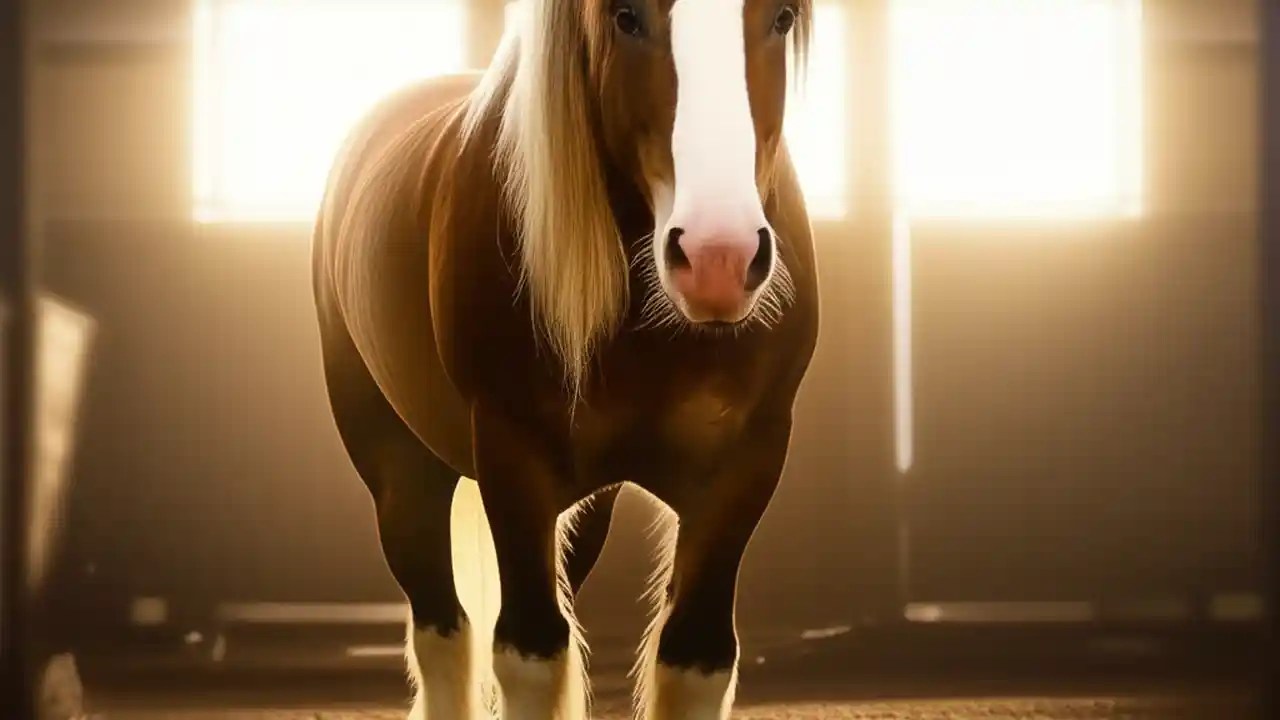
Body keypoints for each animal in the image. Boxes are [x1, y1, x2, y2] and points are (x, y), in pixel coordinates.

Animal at [311, 0, 819, 717]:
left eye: (782, 17)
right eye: (625, 18)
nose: (717, 259)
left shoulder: (743, 467)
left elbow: (696, 658)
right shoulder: (511, 459)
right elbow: (528, 650)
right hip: (399, 470)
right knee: (442, 629)